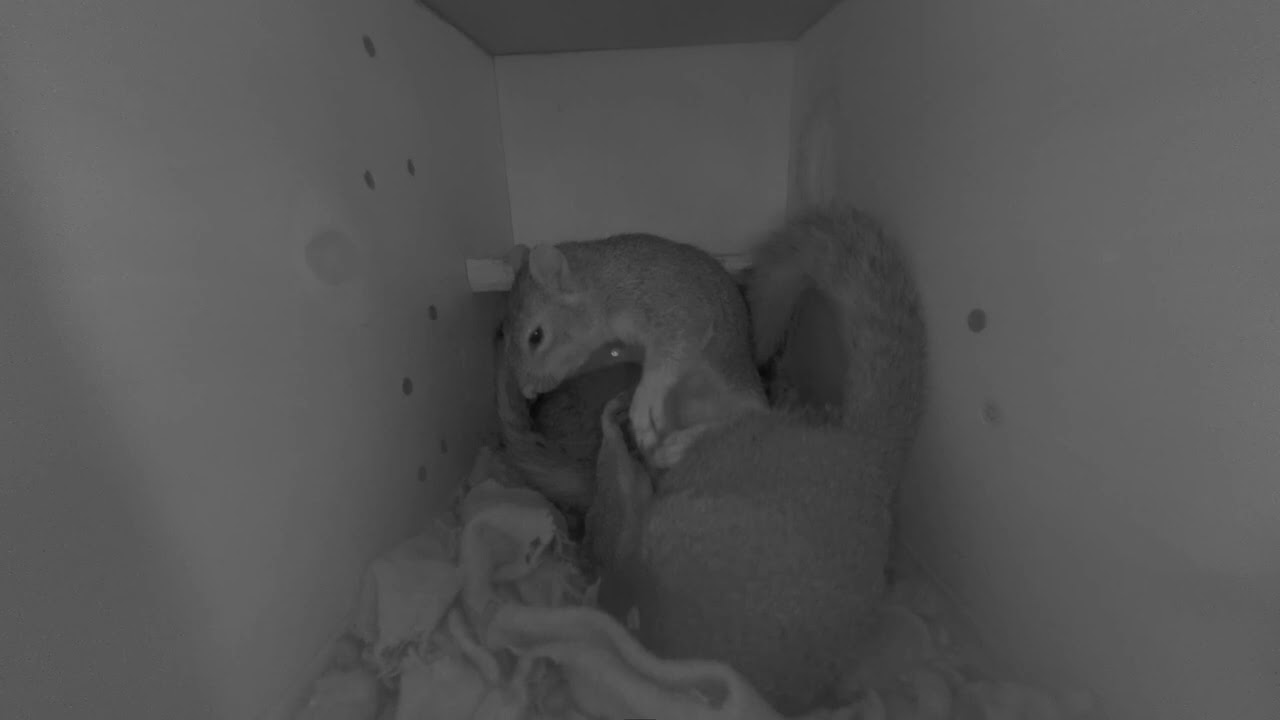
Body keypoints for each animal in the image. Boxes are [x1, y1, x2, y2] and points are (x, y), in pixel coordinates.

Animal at [501, 233, 767, 469]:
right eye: (504, 330)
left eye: (536, 336)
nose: (526, 390)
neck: (602, 285)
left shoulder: (677, 310)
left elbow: (671, 354)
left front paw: (642, 402)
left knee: (737, 420)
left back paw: (678, 445)